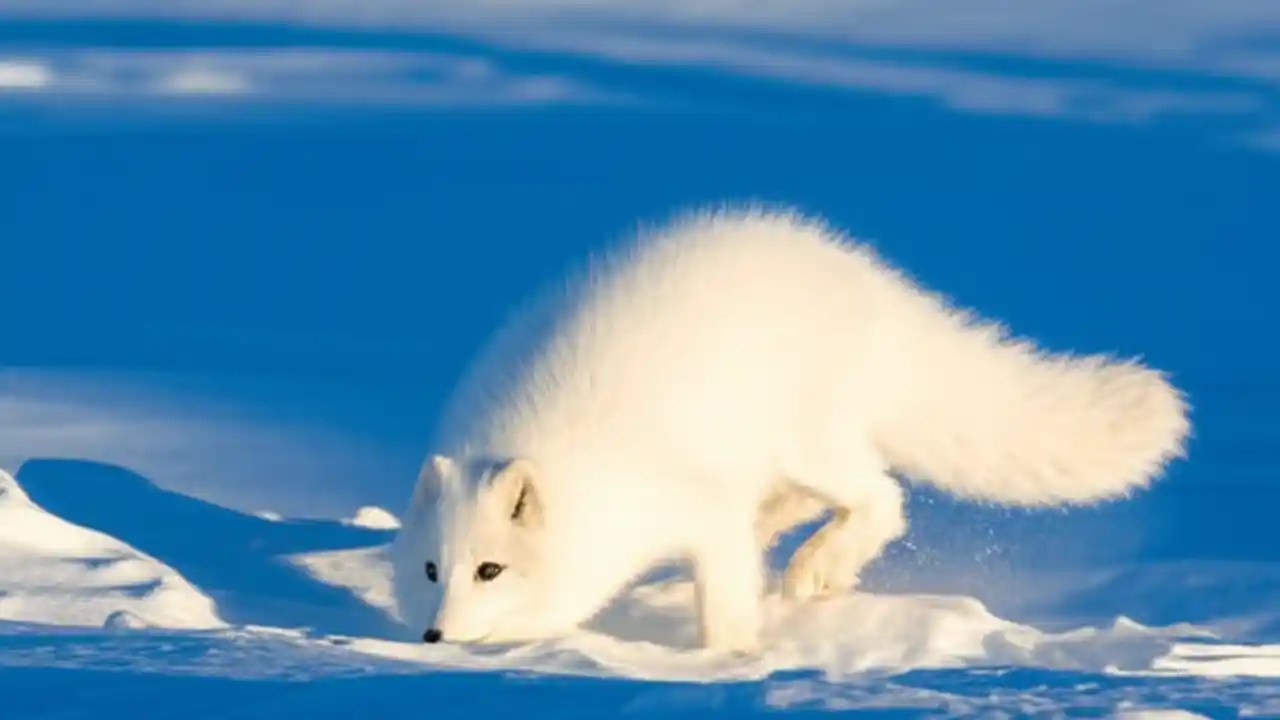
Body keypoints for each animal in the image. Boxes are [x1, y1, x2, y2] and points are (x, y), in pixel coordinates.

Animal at [390, 208, 1189, 652]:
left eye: (490, 569)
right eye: (430, 570)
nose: (433, 637)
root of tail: (871, 281)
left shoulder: (699, 510)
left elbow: (725, 602)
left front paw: (728, 664)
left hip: (809, 440)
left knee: (883, 494)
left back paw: (816, 567)